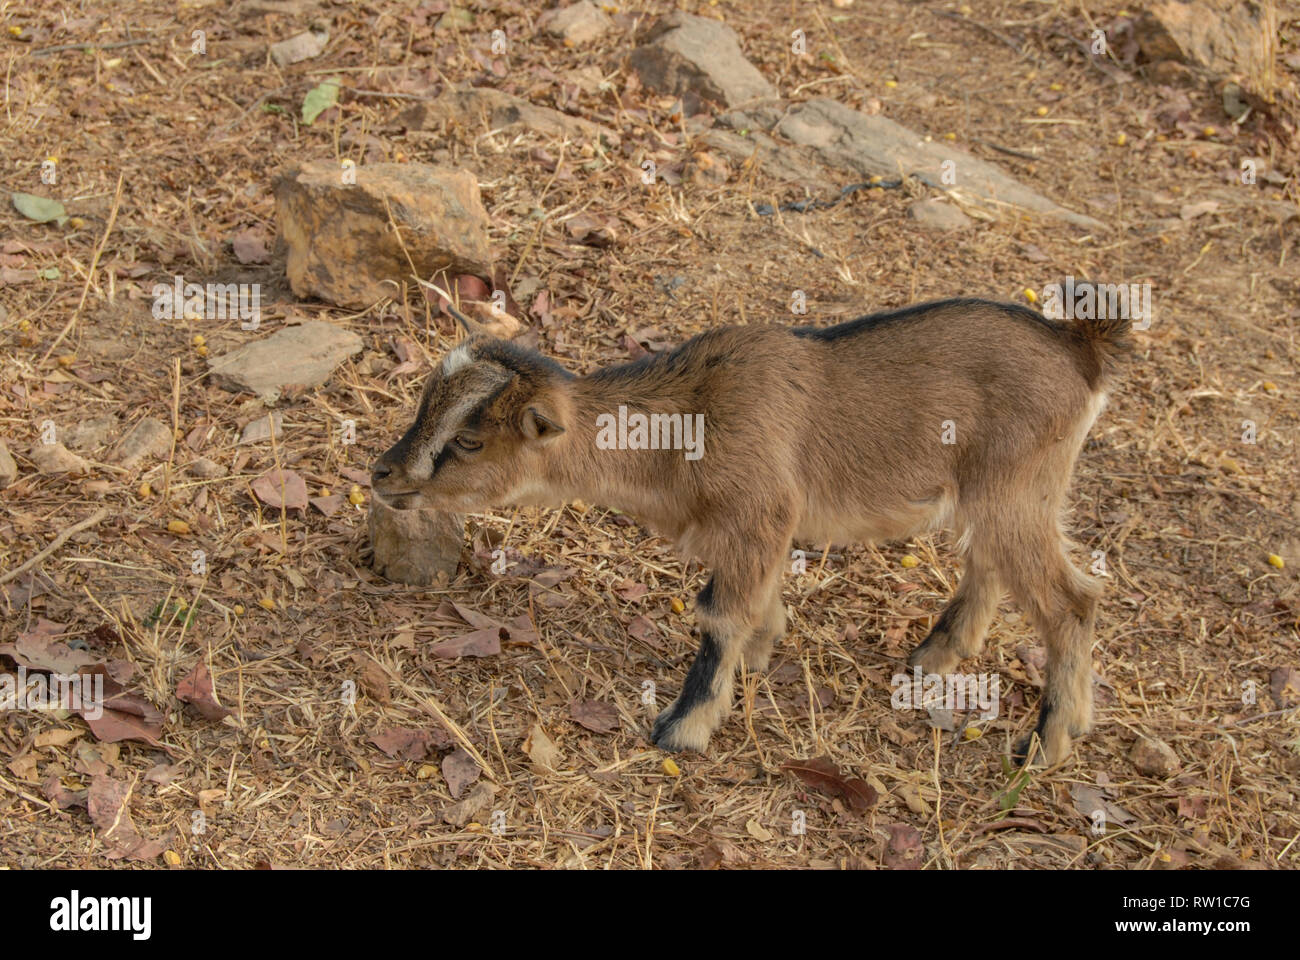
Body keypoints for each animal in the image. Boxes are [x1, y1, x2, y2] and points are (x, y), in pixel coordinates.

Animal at [372, 298, 1130, 764]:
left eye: (469, 441)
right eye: (424, 404)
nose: (383, 474)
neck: (687, 423)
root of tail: (1079, 347)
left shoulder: (757, 515)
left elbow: (718, 614)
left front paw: (683, 729)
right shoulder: (758, 534)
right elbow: (755, 606)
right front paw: (763, 653)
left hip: (1016, 491)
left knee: (1073, 600)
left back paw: (1049, 742)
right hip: (1000, 495)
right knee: (992, 566)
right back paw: (931, 659)